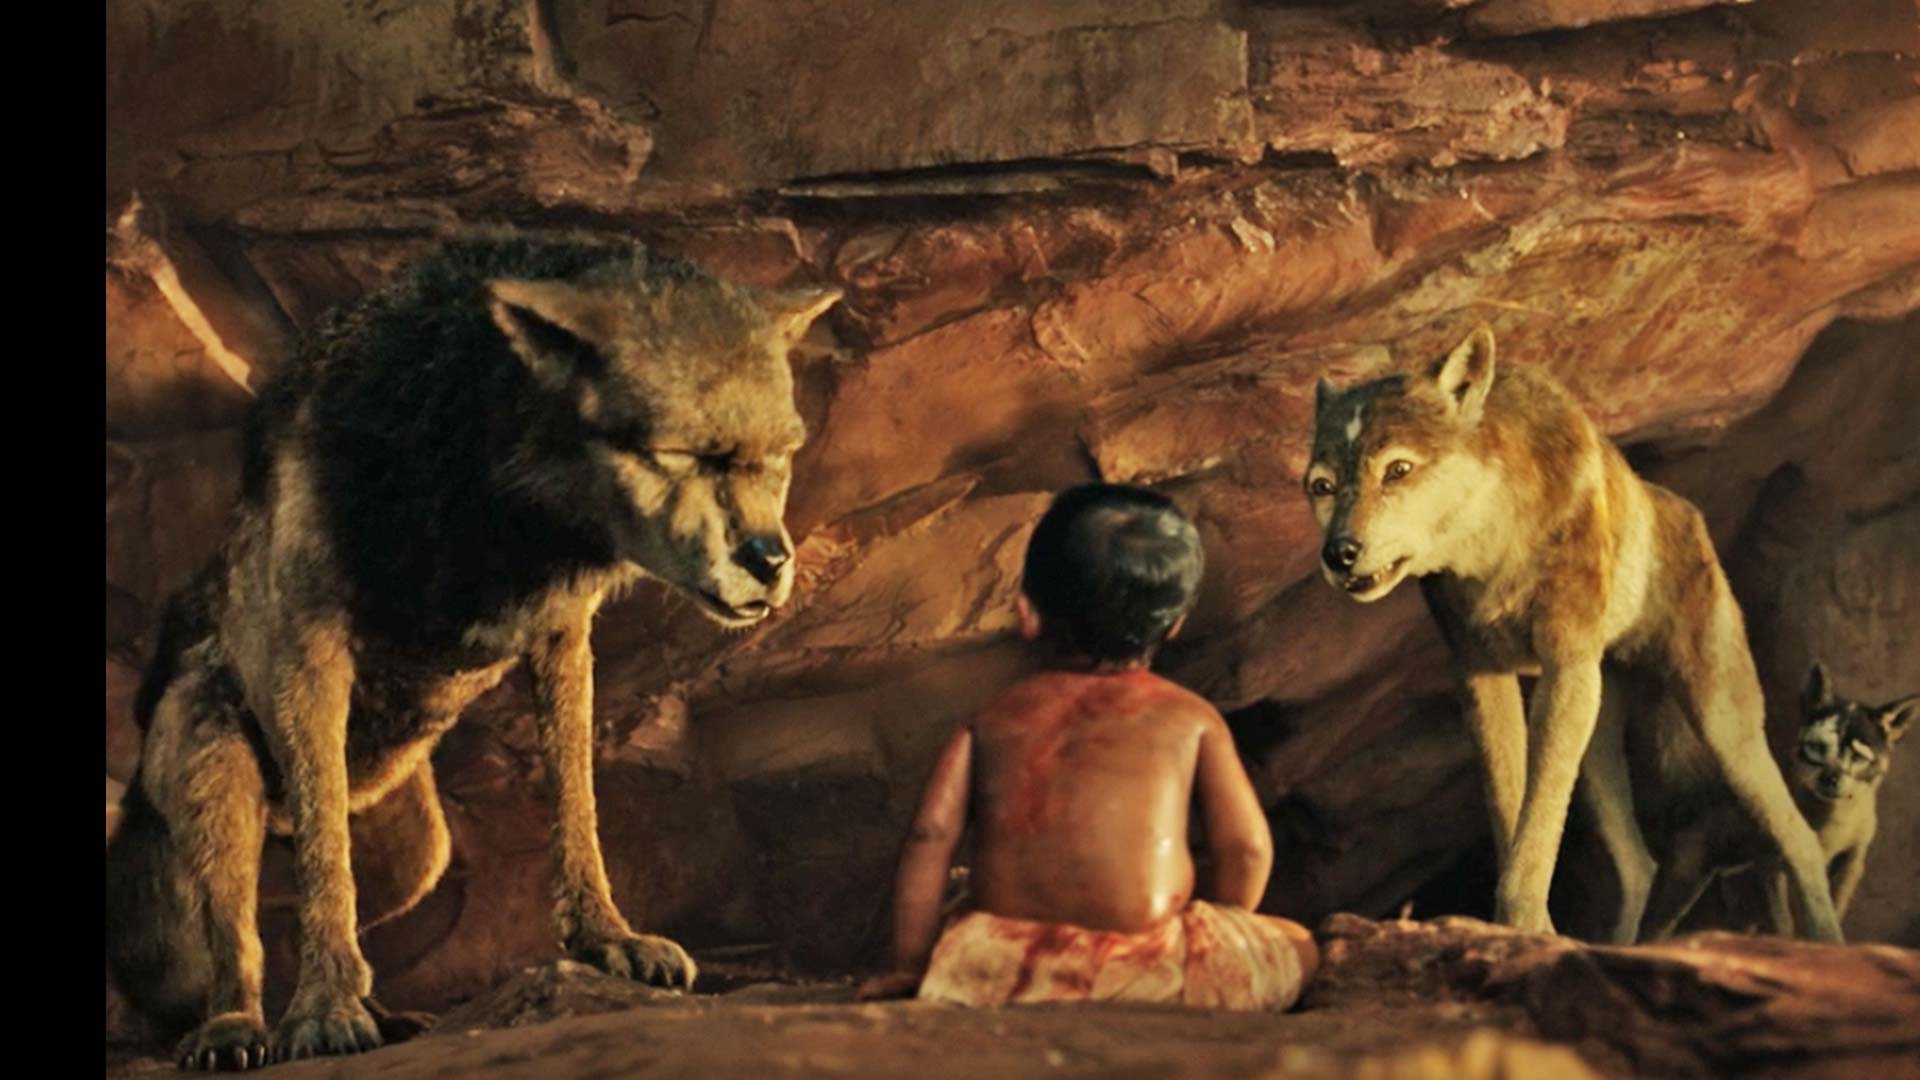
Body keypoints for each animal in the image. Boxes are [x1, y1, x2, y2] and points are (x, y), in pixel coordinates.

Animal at [104, 233, 840, 1070]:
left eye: (779, 456)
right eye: (680, 453)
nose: (770, 561)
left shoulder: (563, 638)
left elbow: (576, 801)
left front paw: (608, 940)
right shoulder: (308, 651)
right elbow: (325, 866)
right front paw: (323, 1013)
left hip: (416, 858)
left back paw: (384, 1014)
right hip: (214, 765)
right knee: (239, 932)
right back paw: (237, 1029)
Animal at [1301, 324, 1842, 945]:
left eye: (1397, 470)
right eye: (1321, 486)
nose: (1339, 553)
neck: (1494, 548)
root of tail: (1690, 512)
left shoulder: (1563, 668)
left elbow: (1534, 834)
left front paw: (1520, 926)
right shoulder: (1481, 678)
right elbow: (1513, 815)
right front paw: (1532, 933)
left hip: (1721, 727)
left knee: (1799, 839)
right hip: (1599, 744)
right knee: (1640, 866)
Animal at [1662, 663, 1915, 937]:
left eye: (1858, 757)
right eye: (1817, 748)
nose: (1830, 778)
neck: (1832, 820)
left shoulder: (1851, 865)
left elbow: (1832, 913)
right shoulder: (1772, 866)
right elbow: (1784, 924)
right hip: (1686, 887)